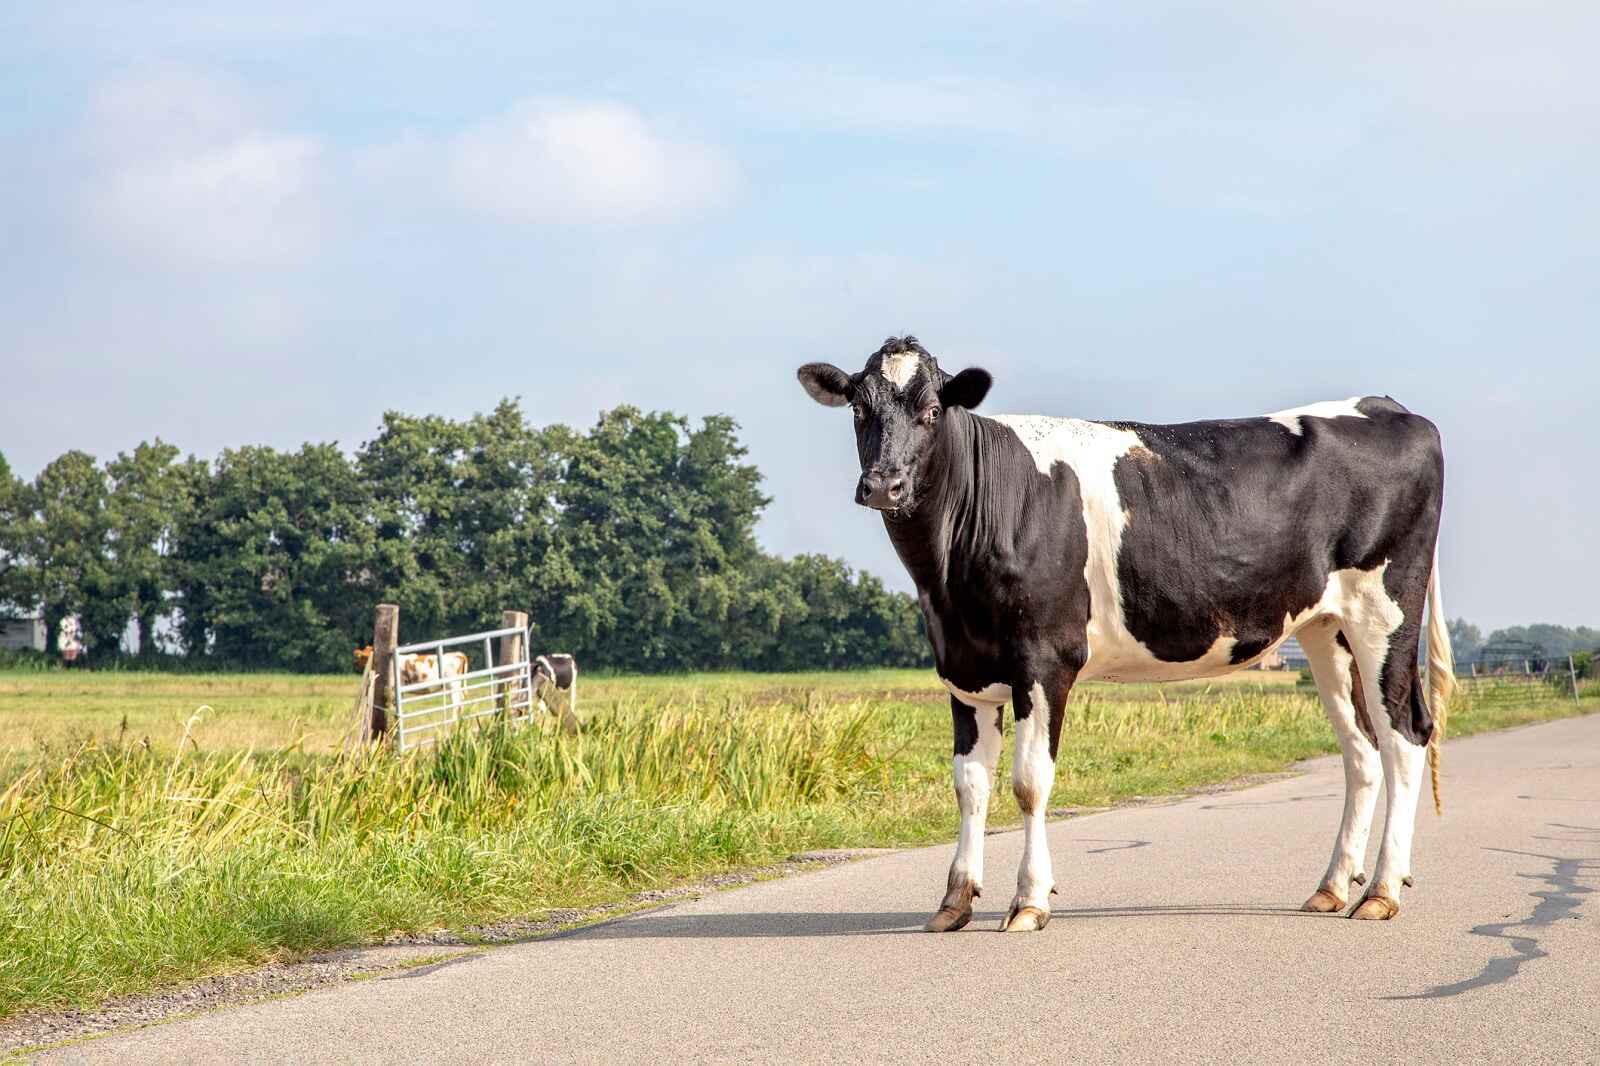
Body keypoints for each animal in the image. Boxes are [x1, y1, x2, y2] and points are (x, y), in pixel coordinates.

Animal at [797, 335, 1453, 932]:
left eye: (933, 410)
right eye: (859, 409)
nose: (884, 485)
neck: (948, 575)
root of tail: (1391, 408)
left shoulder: (1045, 660)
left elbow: (1029, 784)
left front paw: (1029, 900)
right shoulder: (963, 669)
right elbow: (969, 785)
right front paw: (955, 901)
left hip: (1385, 613)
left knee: (1404, 735)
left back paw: (1381, 891)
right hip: (1325, 629)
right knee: (1361, 748)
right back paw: (1332, 887)